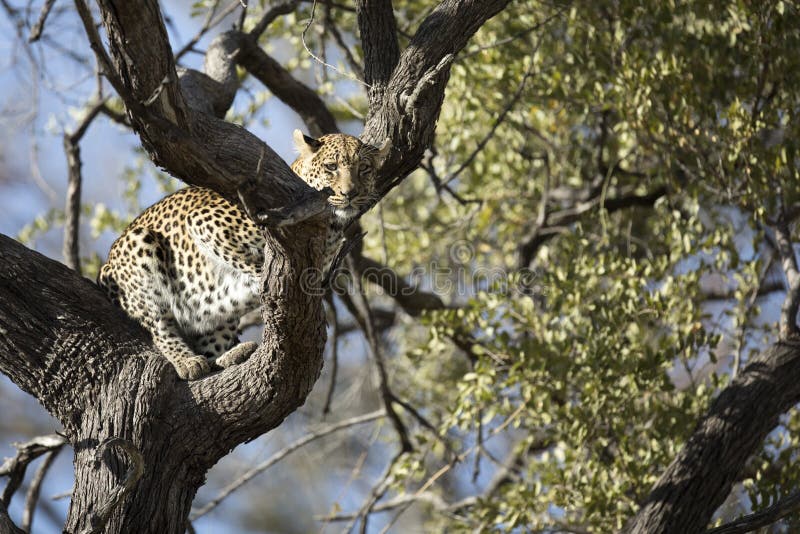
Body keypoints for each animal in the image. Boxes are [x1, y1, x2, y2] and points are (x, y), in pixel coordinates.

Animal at [97, 130, 391, 380]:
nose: (350, 193)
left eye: (364, 169)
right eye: (331, 167)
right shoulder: (203, 221)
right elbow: (254, 266)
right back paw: (187, 361)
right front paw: (265, 284)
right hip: (139, 247)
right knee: (159, 325)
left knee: (212, 353)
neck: (330, 225)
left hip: (218, 321)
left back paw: (233, 355)